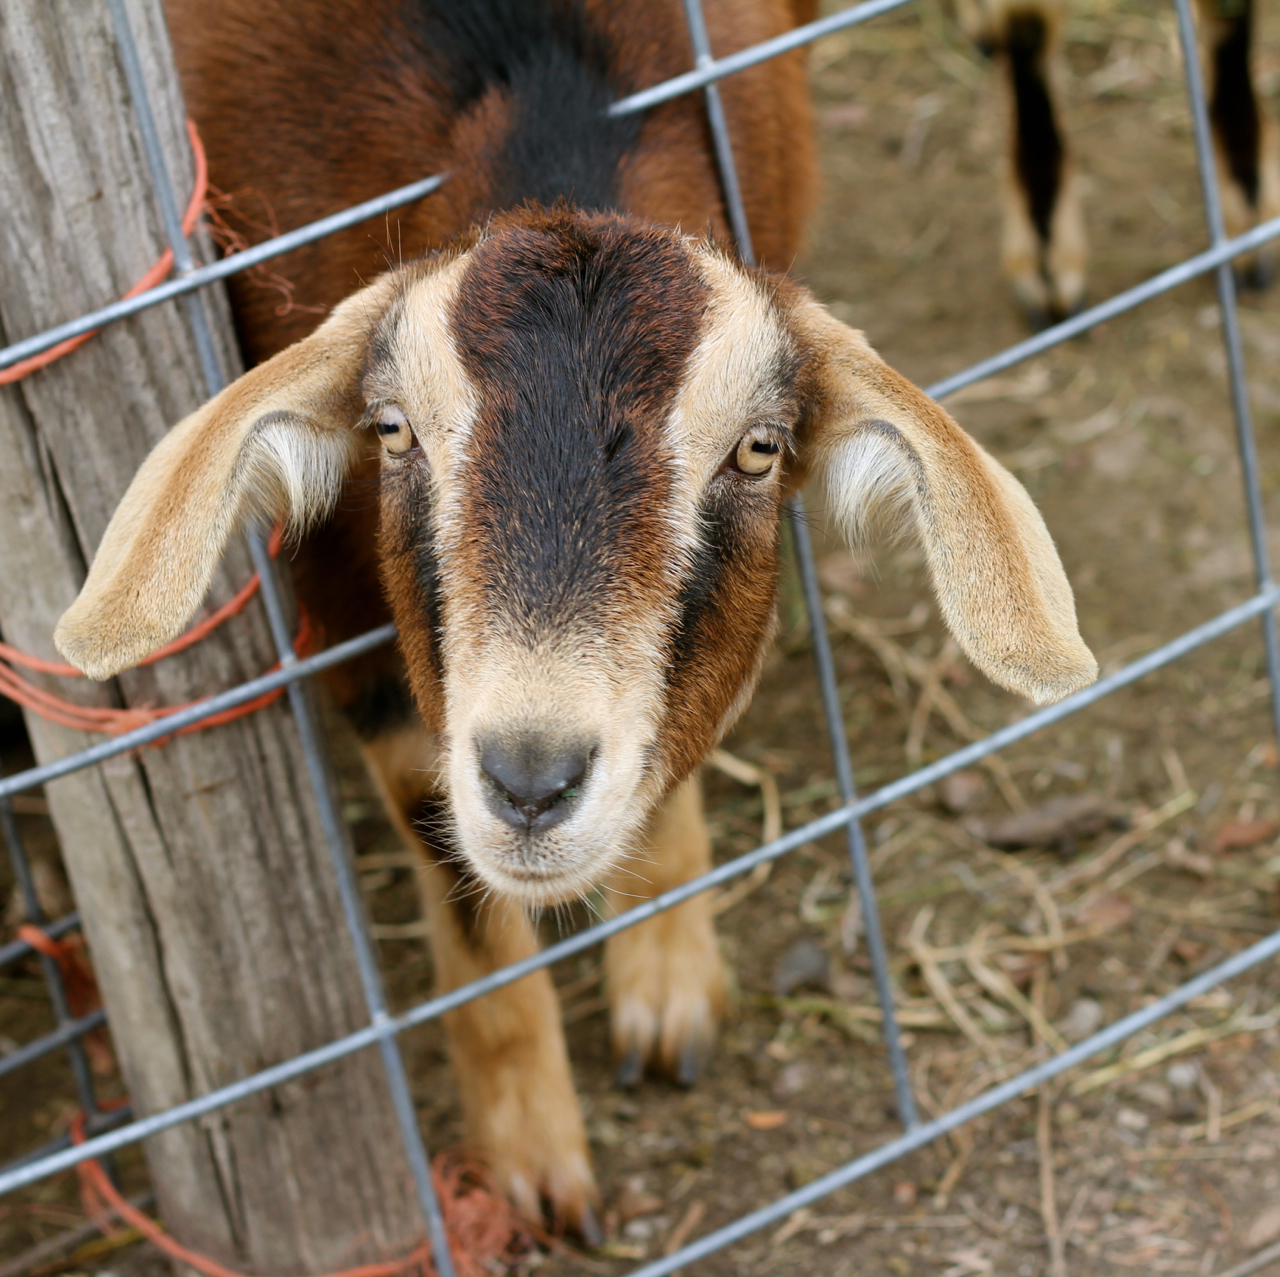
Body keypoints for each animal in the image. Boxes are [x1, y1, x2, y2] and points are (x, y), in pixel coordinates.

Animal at [54, 0, 1097, 1237]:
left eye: (756, 449)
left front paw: (667, 978)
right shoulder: (337, 591)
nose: (531, 780)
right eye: (393, 431)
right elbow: (438, 832)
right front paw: (531, 1157)